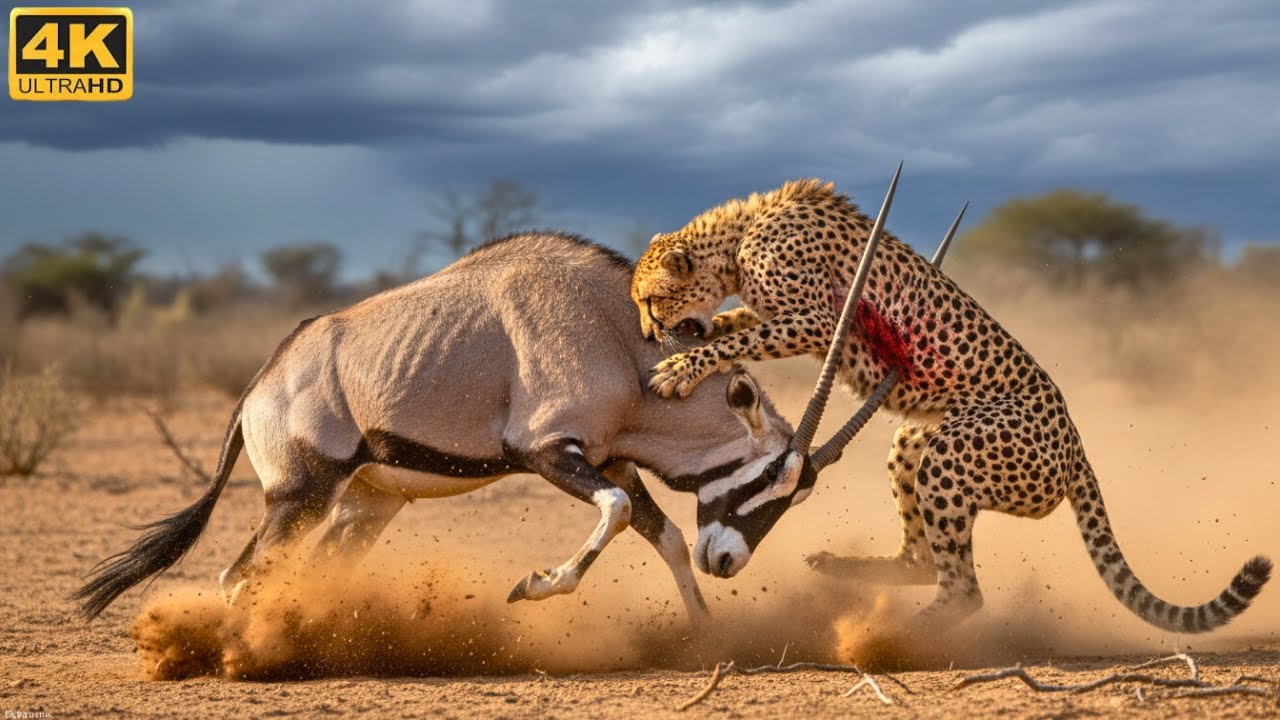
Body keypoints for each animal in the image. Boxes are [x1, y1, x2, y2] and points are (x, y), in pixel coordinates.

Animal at [76, 231, 884, 623]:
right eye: (771, 475)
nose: (731, 563)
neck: (618, 338)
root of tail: (261, 385)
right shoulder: (552, 453)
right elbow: (619, 513)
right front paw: (535, 585)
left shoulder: (612, 459)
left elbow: (662, 535)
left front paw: (706, 634)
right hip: (299, 497)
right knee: (238, 576)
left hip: (366, 505)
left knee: (302, 572)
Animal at [630, 178, 1271, 633]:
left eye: (650, 300)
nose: (646, 331)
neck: (741, 237)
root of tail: (1077, 446)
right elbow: (739, 323)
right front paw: (698, 344)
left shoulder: (817, 318)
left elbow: (744, 336)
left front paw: (682, 369)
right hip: (917, 441)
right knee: (922, 560)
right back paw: (845, 571)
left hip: (954, 455)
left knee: (965, 592)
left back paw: (886, 640)